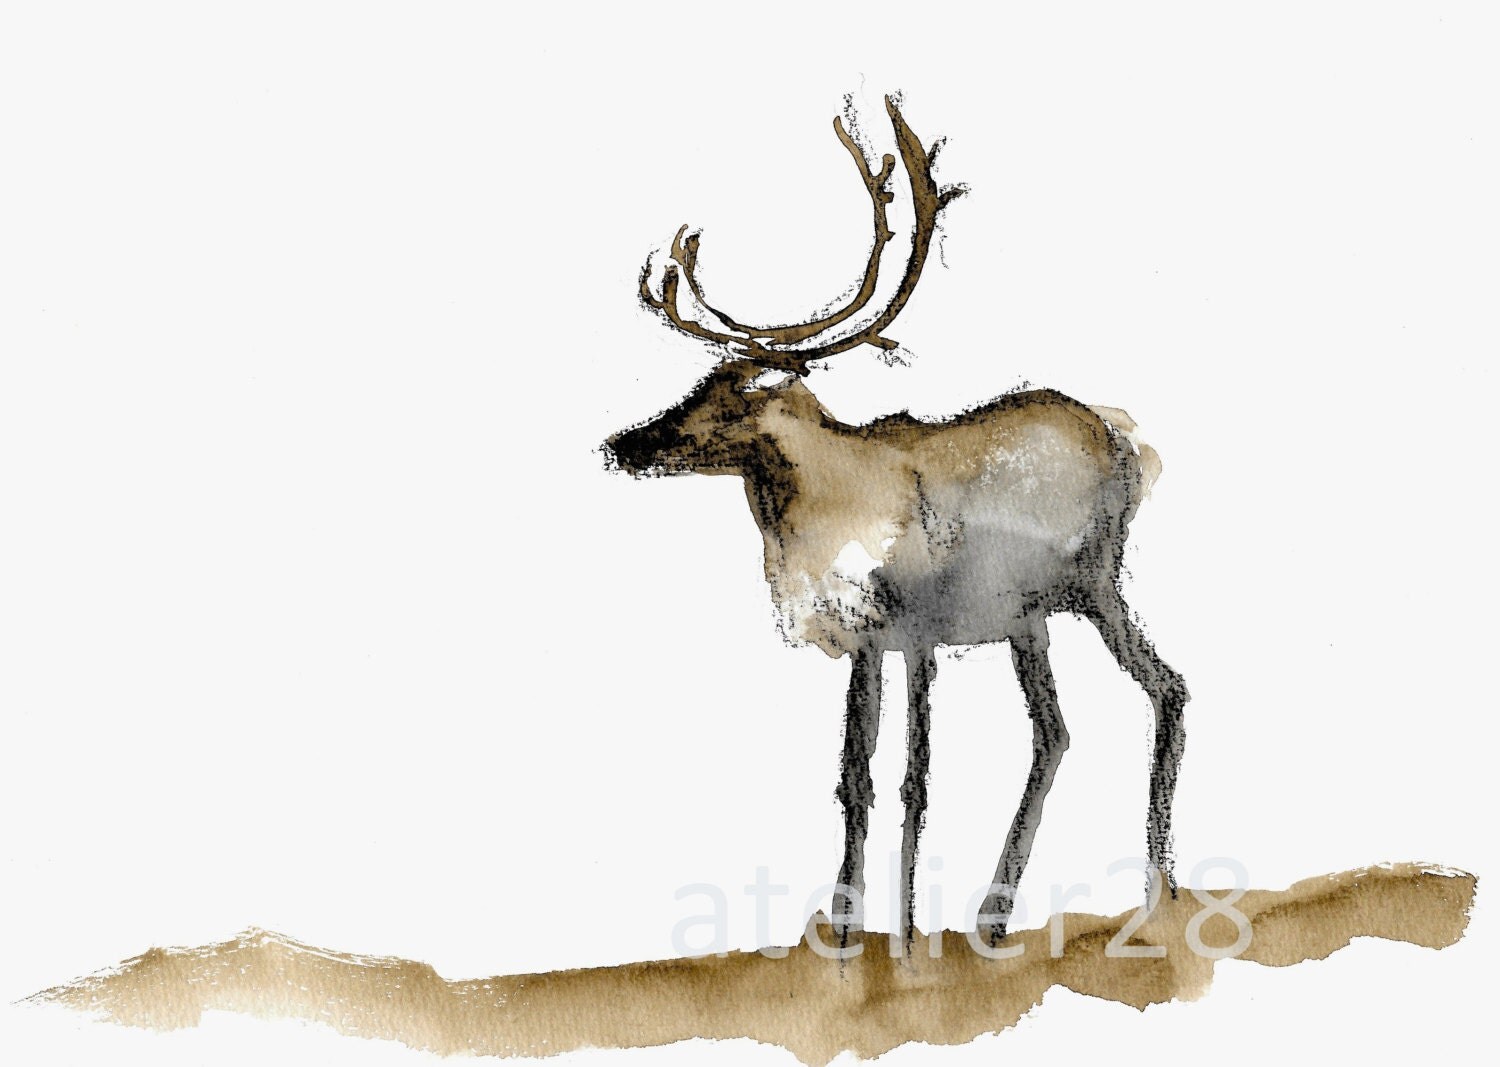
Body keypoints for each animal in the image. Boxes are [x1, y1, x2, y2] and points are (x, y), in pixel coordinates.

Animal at [604, 95, 1188, 950]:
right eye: (695, 384)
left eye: (728, 397)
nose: (623, 443)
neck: (818, 519)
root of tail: (1127, 440)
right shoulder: (866, 637)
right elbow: (854, 774)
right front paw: (846, 934)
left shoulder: (915, 627)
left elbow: (915, 779)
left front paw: (907, 944)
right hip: (1029, 619)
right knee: (1054, 731)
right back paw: (994, 916)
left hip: (1095, 583)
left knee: (1166, 686)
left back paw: (1157, 892)